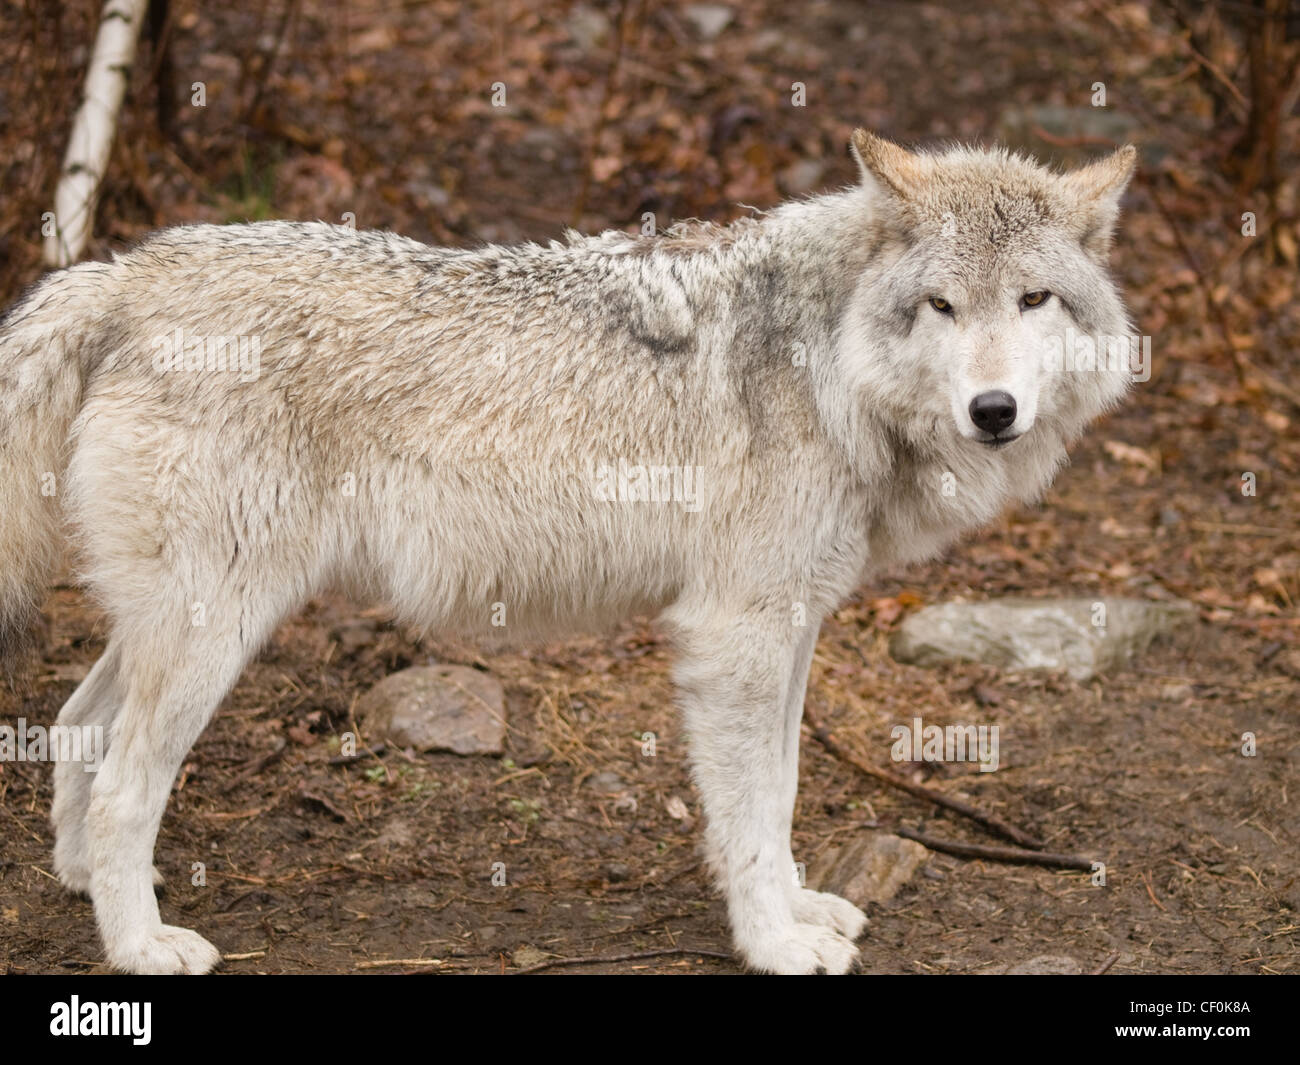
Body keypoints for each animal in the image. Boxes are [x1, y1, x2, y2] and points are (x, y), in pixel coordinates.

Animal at [0, 131, 1136, 974]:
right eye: (942, 306)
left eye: (1032, 300)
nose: (995, 411)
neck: (828, 360)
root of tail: (119, 273)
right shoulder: (733, 635)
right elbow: (751, 812)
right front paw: (771, 943)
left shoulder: (792, 627)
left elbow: (778, 792)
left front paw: (803, 908)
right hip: (215, 629)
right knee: (124, 783)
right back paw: (140, 946)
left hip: (179, 624)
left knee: (76, 725)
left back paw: (85, 888)